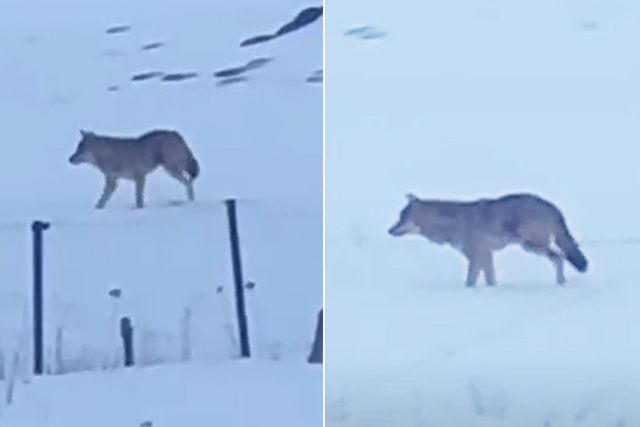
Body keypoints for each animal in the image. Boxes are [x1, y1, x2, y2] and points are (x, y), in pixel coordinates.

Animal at [69, 129, 200, 209]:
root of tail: (175, 133)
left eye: (80, 150)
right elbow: (102, 199)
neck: (109, 155)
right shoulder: (113, 181)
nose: (69, 159)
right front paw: (96, 210)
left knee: (189, 182)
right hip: (172, 170)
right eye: (77, 149)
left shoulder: (139, 177)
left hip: (172, 169)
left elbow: (138, 199)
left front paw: (139, 210)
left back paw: (190, 201)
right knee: (189, 181)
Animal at [388, 193, 588, 287]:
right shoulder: (486, 255)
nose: (389, 231)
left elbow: (470, 281)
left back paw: (560, 284)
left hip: (532, 246)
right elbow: (491, 279)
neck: (452, 222)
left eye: (401, 218)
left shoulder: (476, 256)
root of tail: (552, 206)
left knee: (559, 258)